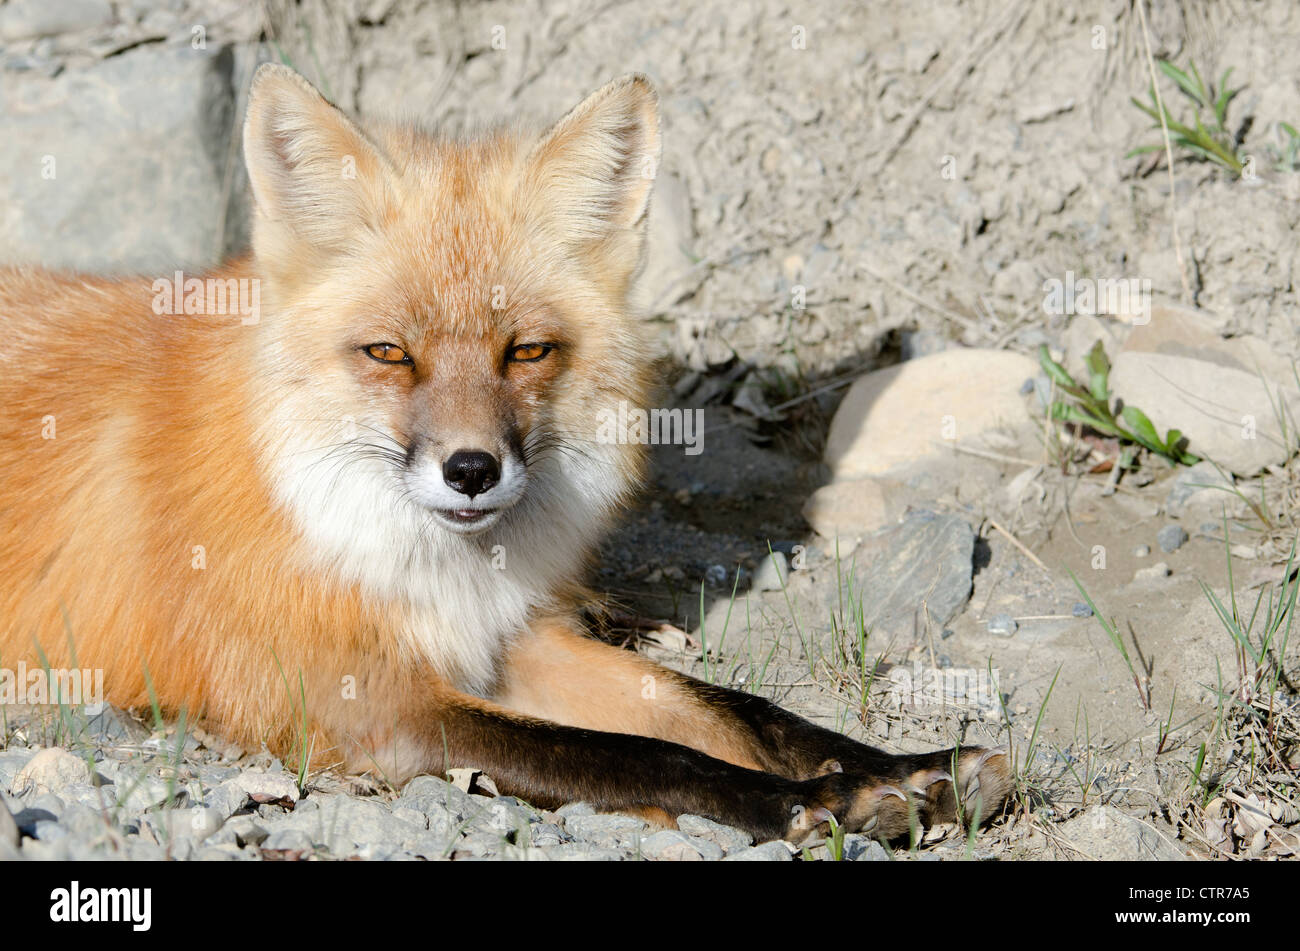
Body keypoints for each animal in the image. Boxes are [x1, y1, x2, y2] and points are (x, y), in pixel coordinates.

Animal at [0, 64, 1011, 845]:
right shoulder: (366, 703)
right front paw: (803, 801)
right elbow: (634, 753)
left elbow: (728, 708)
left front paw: (898, 766)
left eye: (525, 351)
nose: (472, 470)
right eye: (389, 353)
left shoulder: (512, 634)